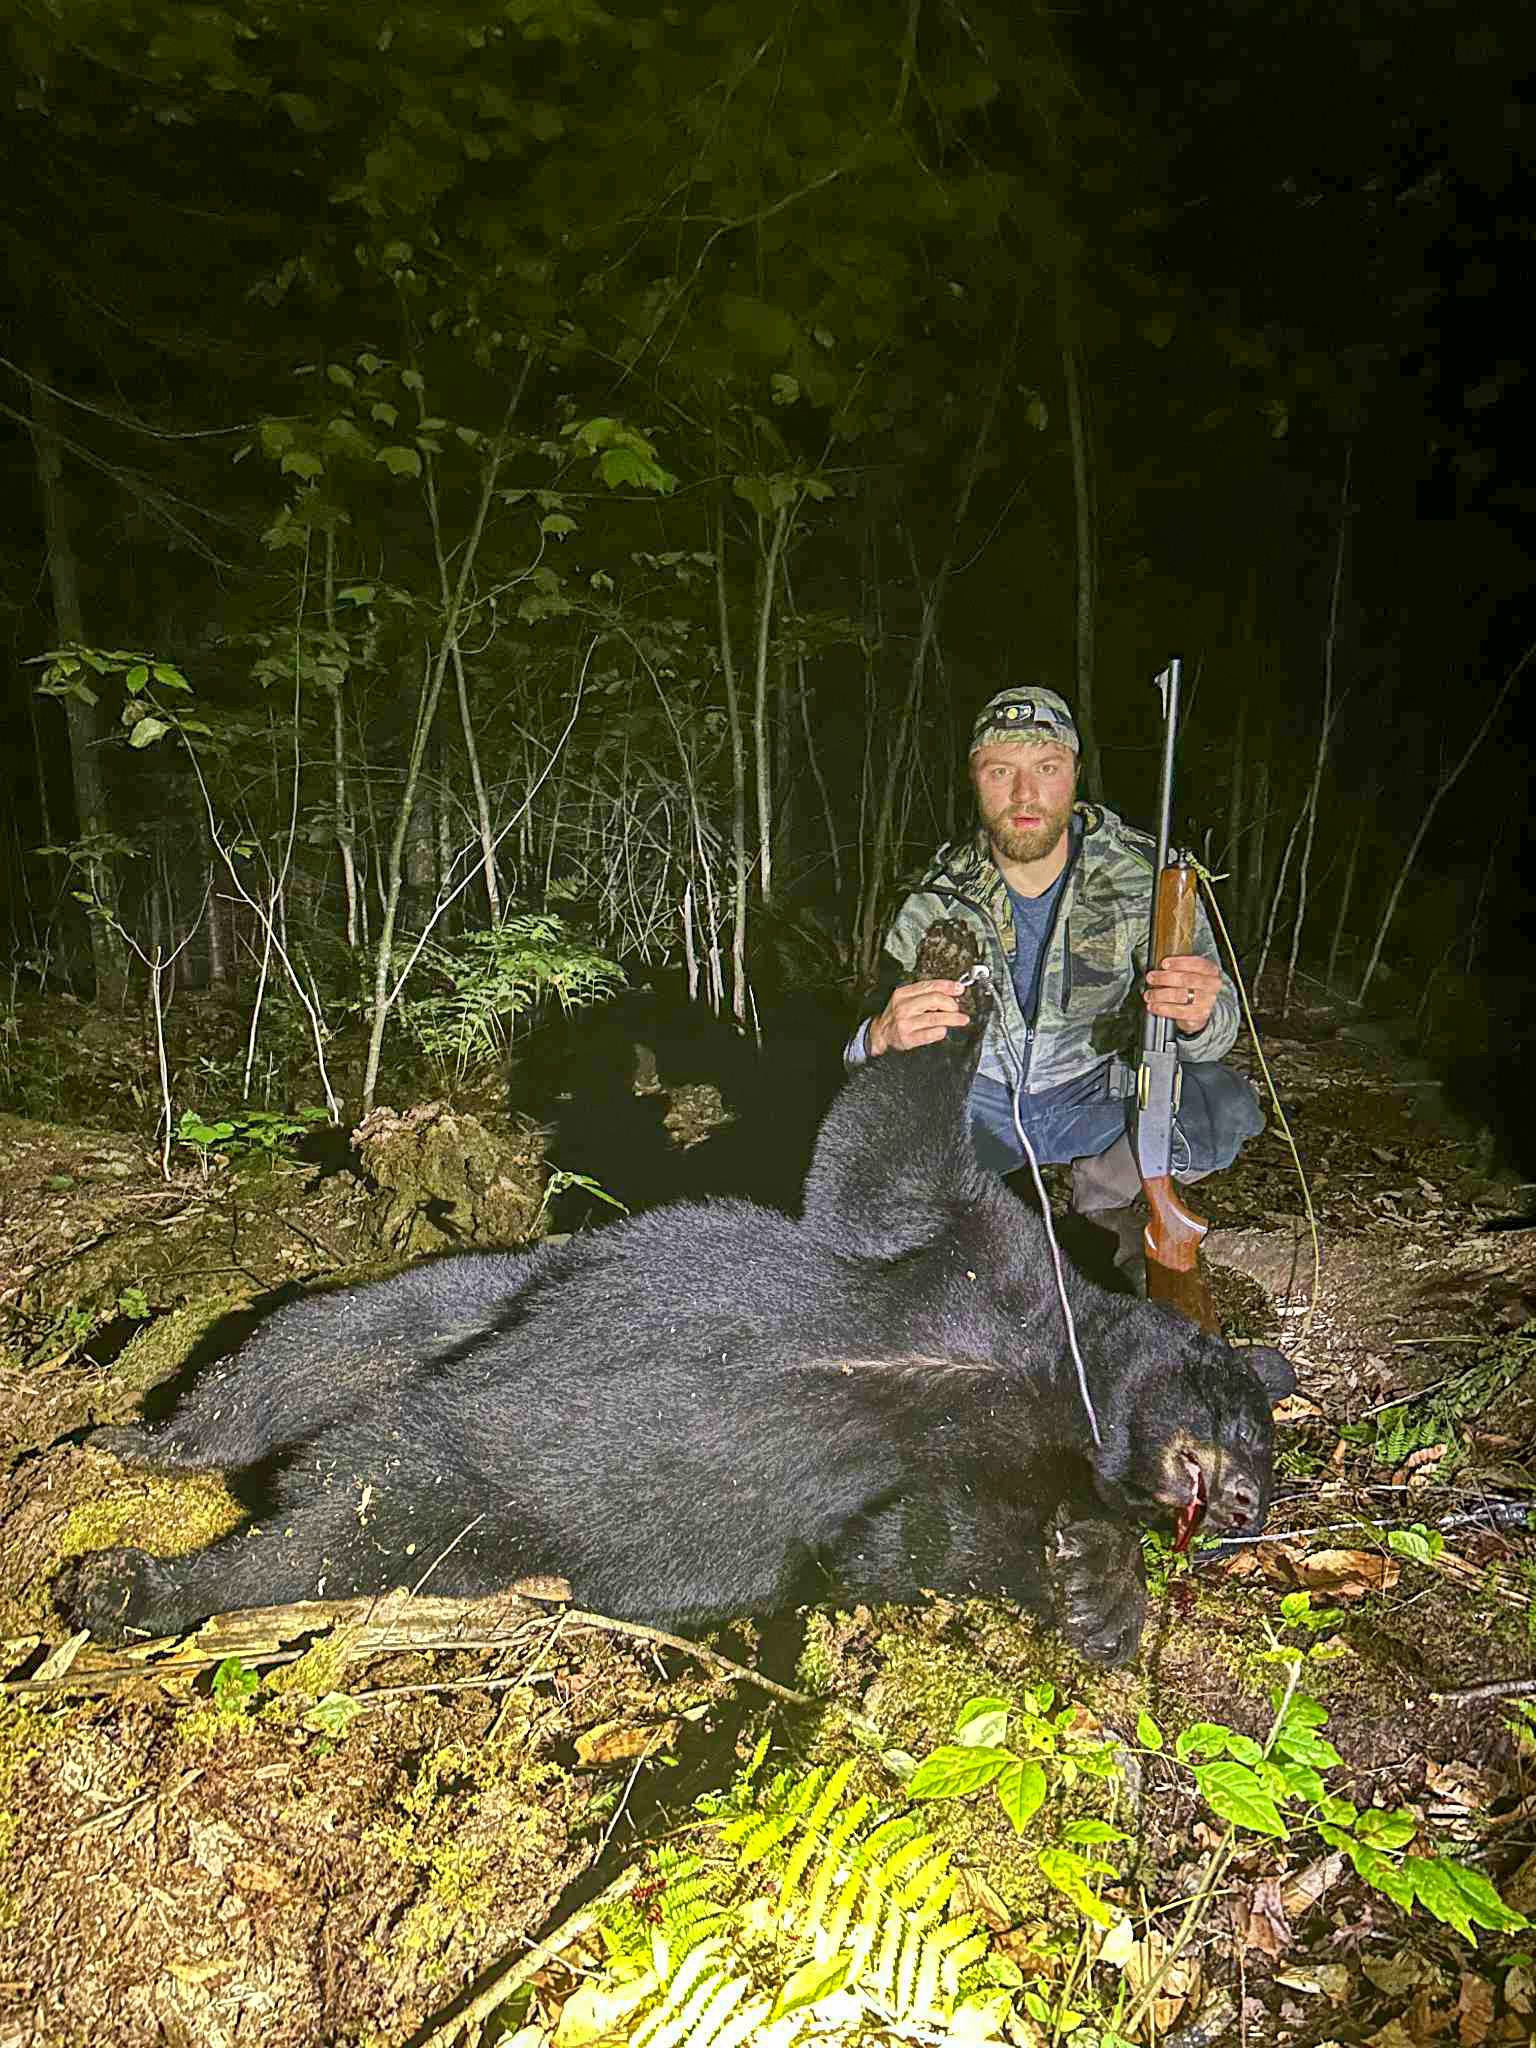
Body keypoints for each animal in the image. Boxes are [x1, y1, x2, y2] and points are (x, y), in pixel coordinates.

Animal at [56, 941, 1293, 1666]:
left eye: (1266, 1481)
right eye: (1244, 1416)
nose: (1238, 1502)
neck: (1049, 1383)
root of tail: (356, 1442)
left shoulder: (981, 1466)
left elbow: (911, 1544)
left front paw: (1099, 1587)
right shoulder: (985, 1258)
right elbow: (880, 1164)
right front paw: (956, 1002)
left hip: (463, 1512)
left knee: (316, 1537)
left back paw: (141, 1556)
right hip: (475, 1298)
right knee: (294, 1354)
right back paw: (140, 1475)